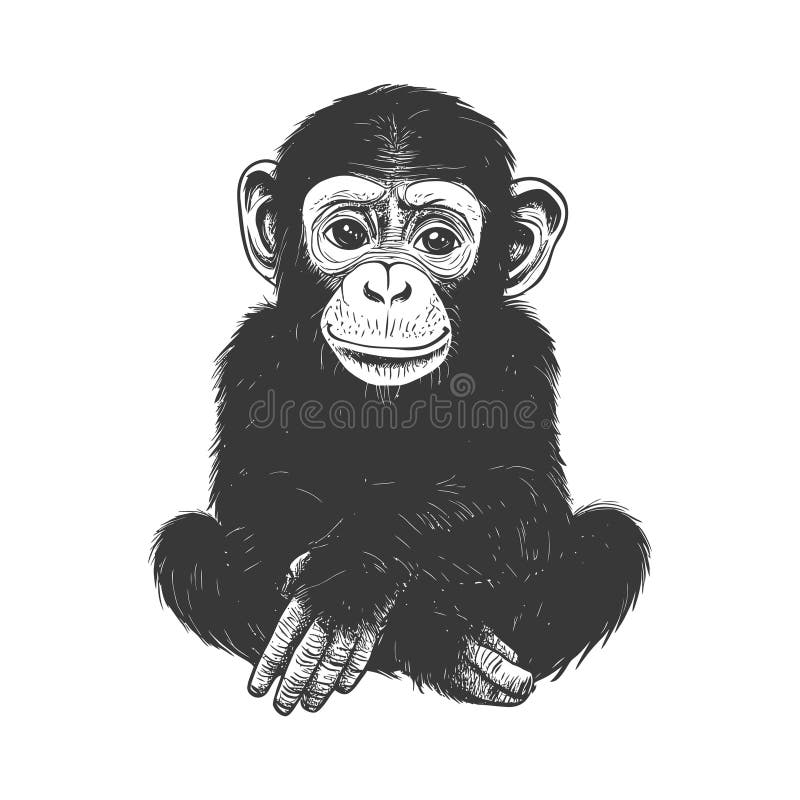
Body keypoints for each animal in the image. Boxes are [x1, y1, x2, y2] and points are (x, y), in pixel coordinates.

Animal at [152, 84, 650, 715]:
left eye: (436, 241)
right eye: (347, 235)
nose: (387, 283)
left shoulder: (525, 354)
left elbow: (522, 497)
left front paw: (348, 579)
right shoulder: (251, 356)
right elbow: (259, 507)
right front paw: (352, 600)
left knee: (611, 539)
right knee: (185, 547)